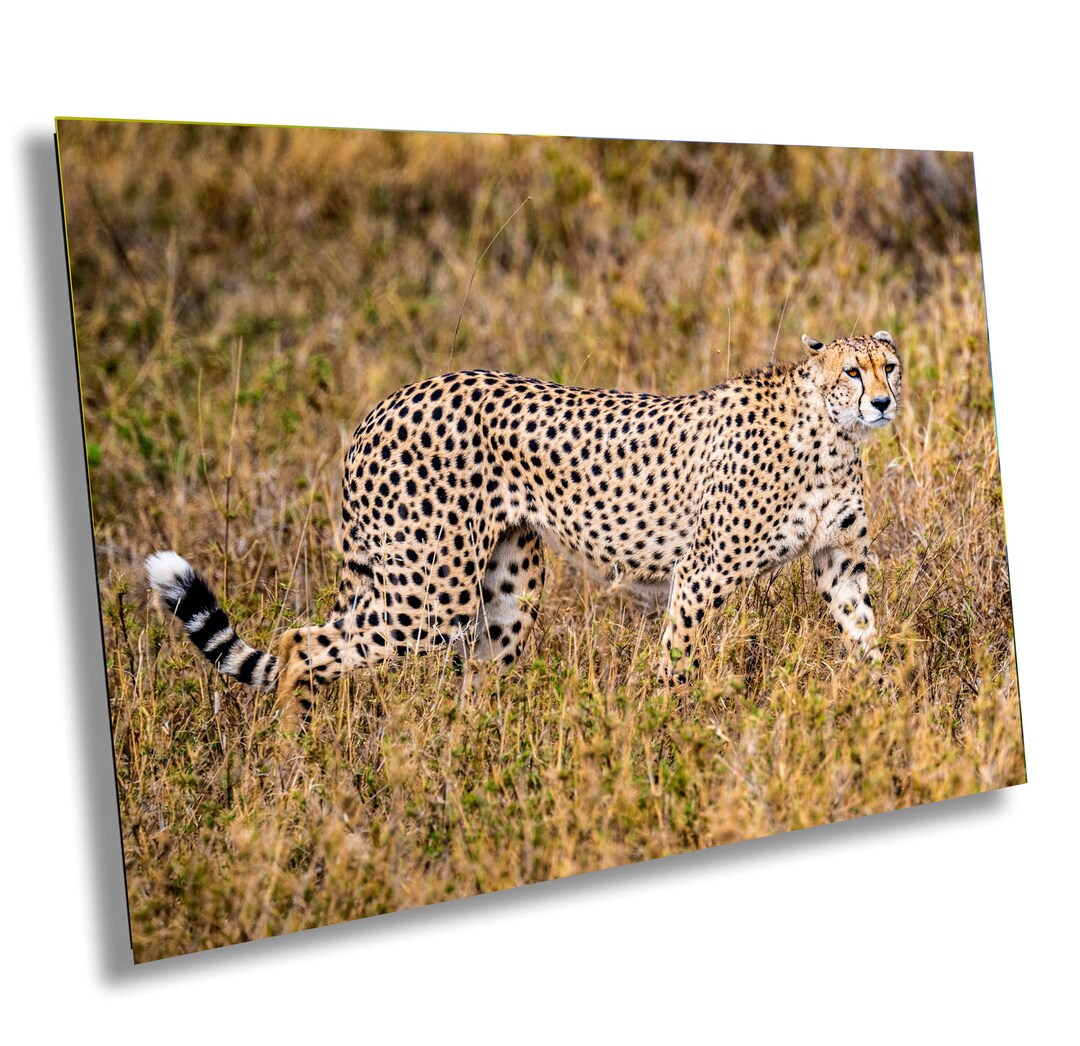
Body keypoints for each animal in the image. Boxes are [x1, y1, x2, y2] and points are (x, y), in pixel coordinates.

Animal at [147, 330, 901, 729]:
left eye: (888, 366)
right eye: (851, 372)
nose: (885, 402)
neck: (831, 433)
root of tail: (386, 403)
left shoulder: (840, 566)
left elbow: (868, 638)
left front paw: (895, 708)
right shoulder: (702, 574)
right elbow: (677, 663)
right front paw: (666, 732)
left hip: (506, 587)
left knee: (473, 678)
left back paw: (474, 756)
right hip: (429, 595)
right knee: (299, 644)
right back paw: (297, 755)